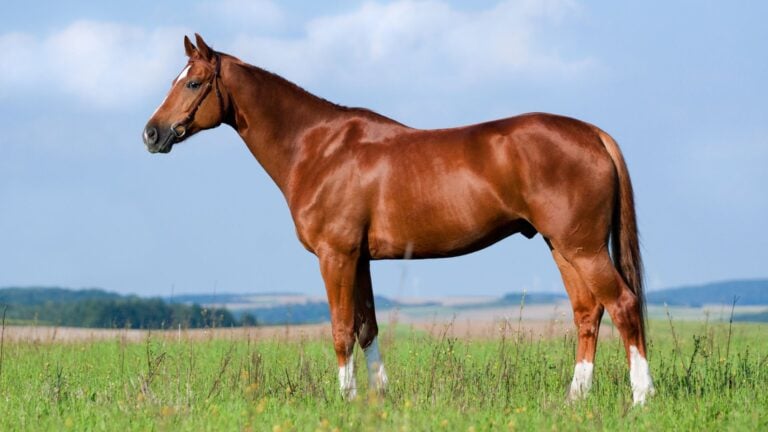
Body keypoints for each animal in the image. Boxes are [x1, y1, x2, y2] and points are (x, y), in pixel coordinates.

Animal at [143, 34, 655, 405]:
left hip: (582, 247)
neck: (318, 148)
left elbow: (341, 329)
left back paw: (641, 398)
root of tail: (593, 133)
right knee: (588, 312)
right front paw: (379, 398)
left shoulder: (336, 255)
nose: (151, 133)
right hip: (563, 247)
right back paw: (575, 398)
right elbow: (367, 327)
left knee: (623, 305)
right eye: (174, 79)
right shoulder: (361, 259)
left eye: (193, 83)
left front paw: (346, 401)